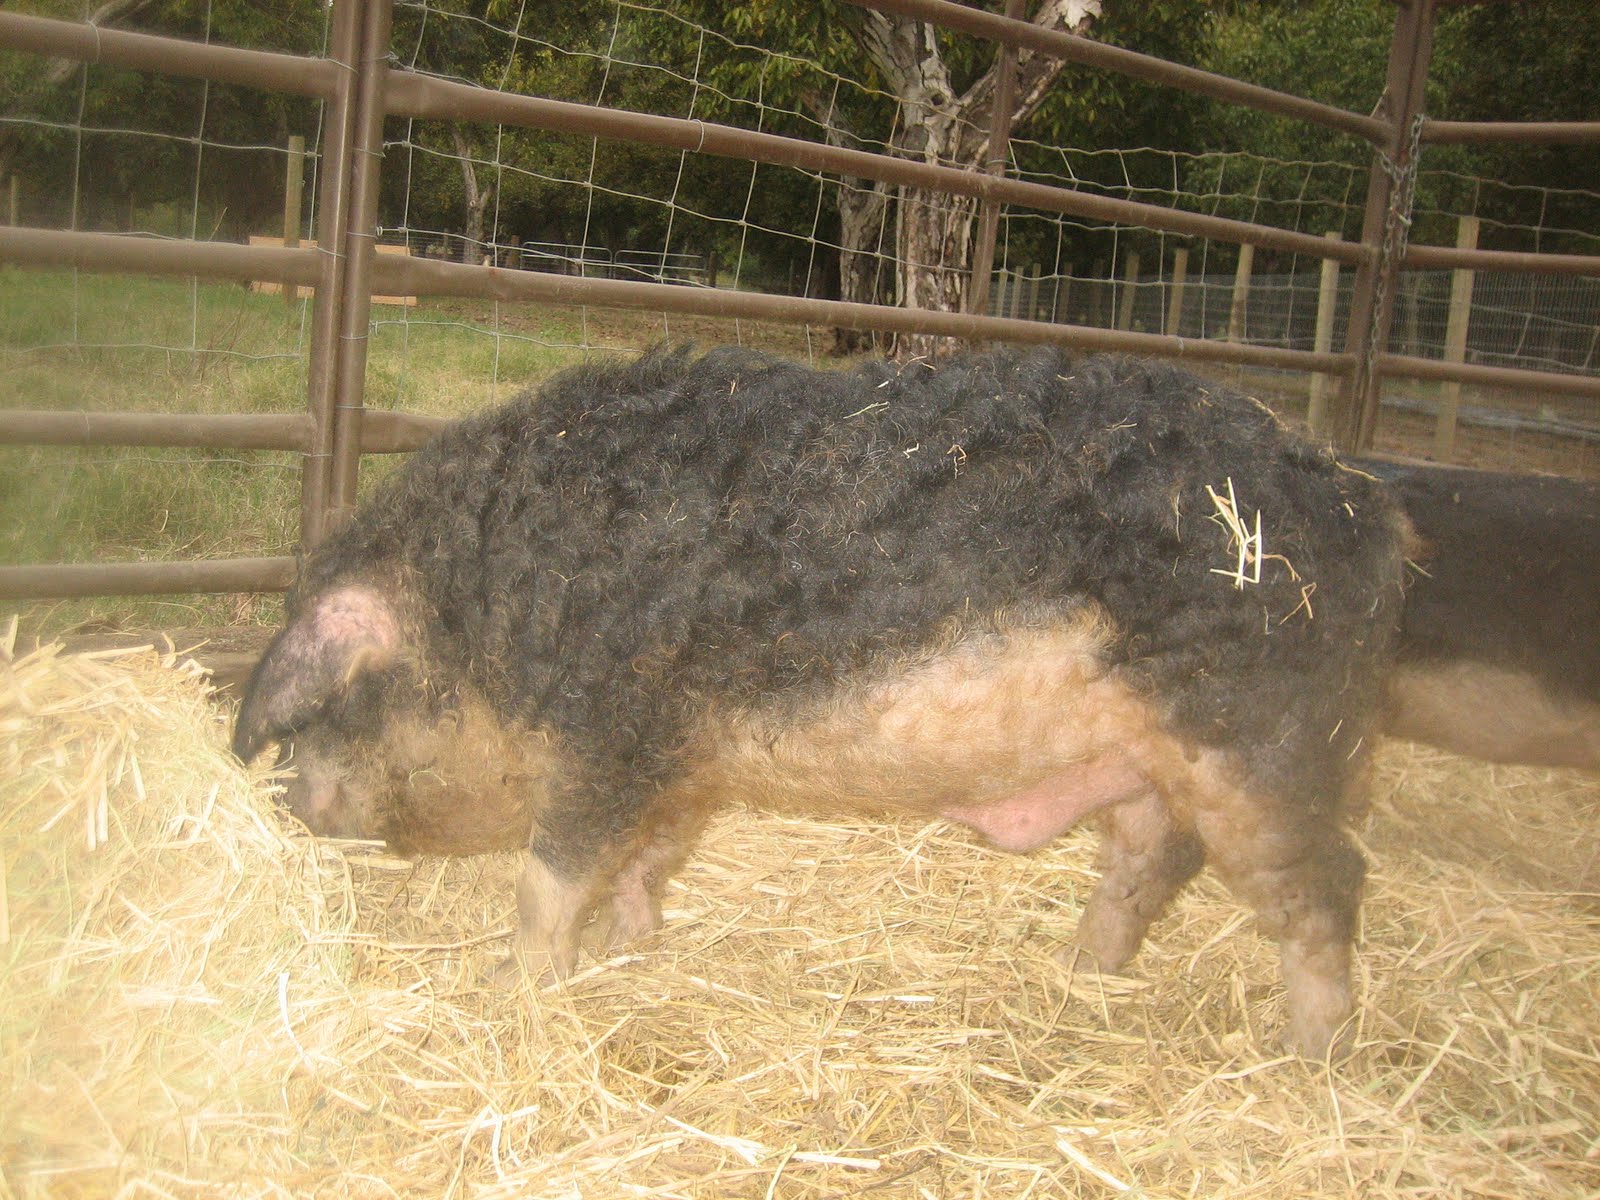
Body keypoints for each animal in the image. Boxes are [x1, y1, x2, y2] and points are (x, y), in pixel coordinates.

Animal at [234, 346, 1411, 1057]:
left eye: (315, 714)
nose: (288, 800)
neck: (476, 609)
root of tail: (1370, 518)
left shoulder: (614, 725)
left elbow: (548, 880)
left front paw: (509, 993)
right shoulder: (680, 756)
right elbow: (647, 860)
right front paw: (634, 953)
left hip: (1259, 738)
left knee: (1327, 883)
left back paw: (1304, 1054)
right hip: (1157, 762)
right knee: (1150, 861)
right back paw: (1078, 973)